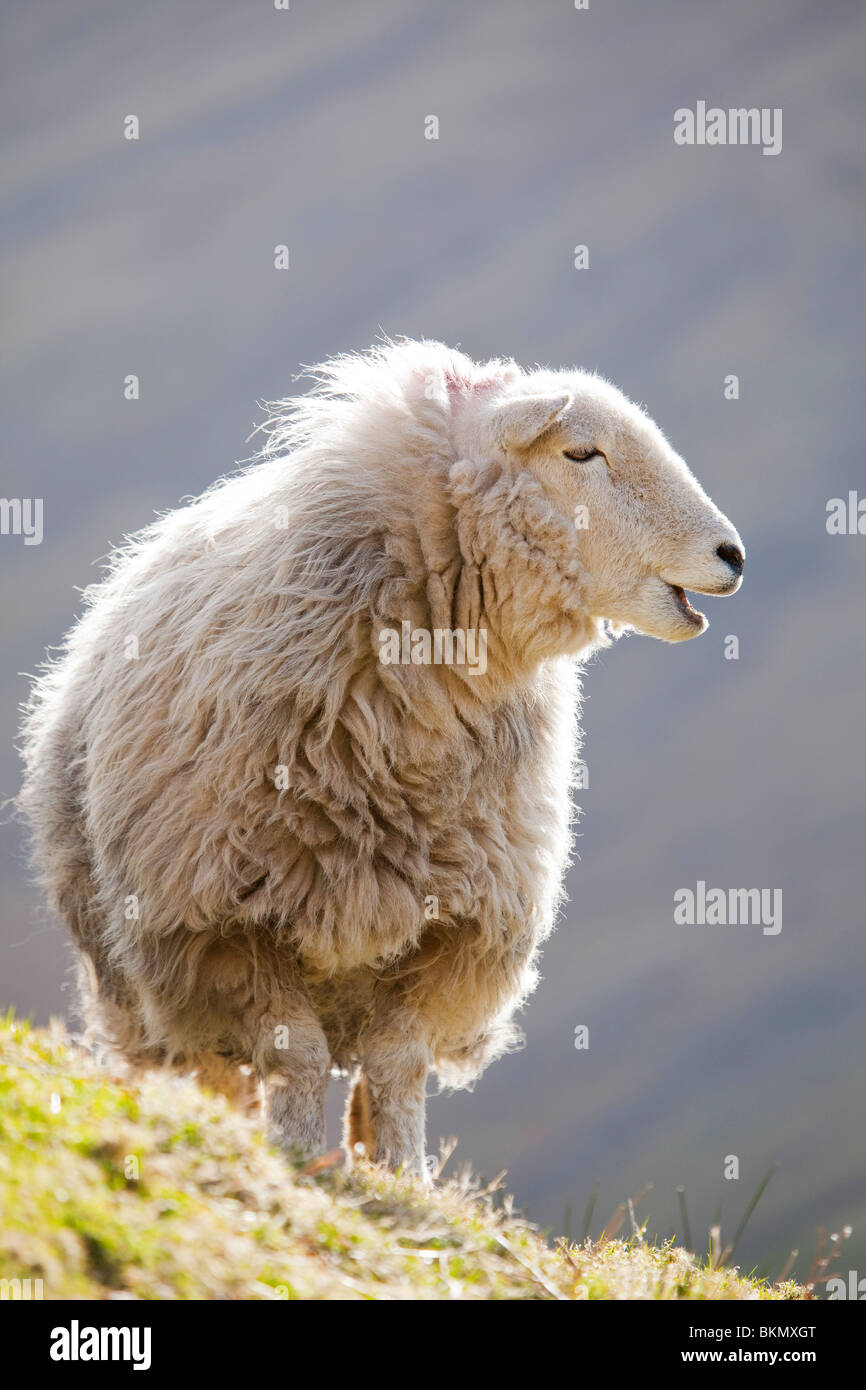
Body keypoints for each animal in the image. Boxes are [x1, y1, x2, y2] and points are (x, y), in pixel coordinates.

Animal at [18, 339, 744, 1174]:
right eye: (580, 451)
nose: (732, 556)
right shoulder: (223, 922)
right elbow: (293, 1055)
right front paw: (297, 1158)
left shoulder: (455, 926)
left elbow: (399, 1064)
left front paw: (404, 1176)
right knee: (209, 1069)